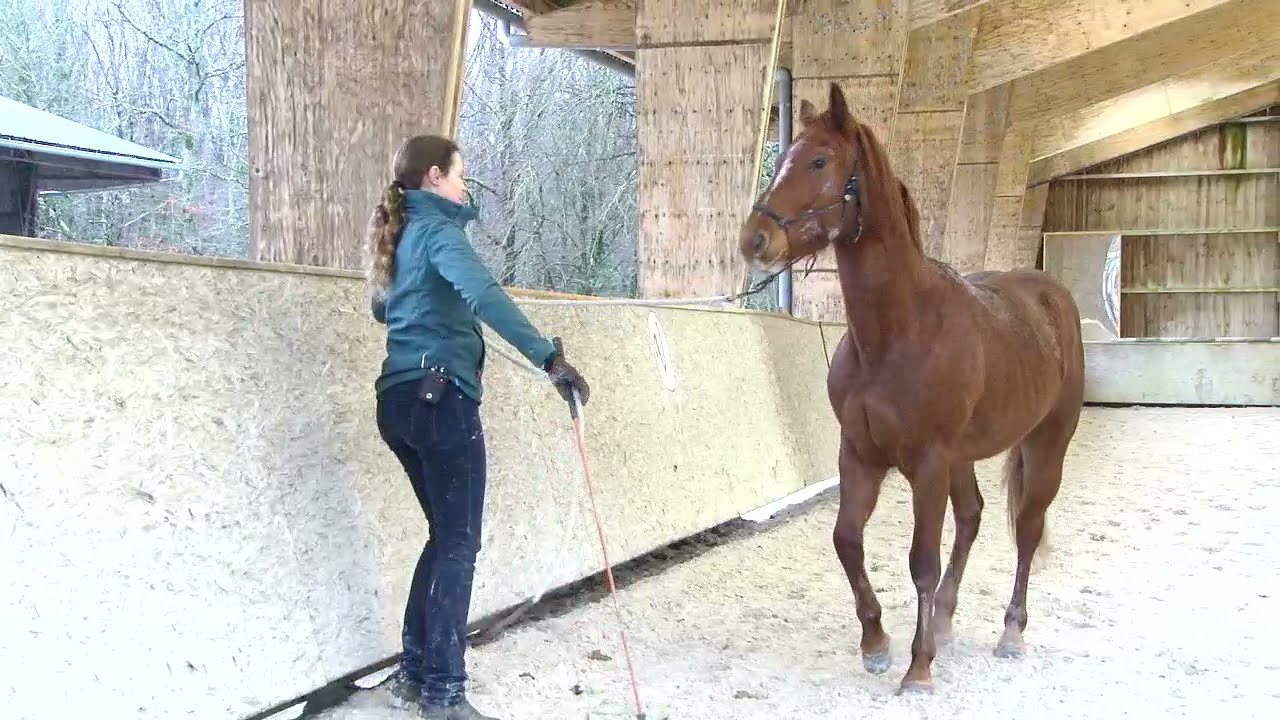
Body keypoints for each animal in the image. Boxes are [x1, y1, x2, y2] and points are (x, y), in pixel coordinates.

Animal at [737, 81, 1084, 694]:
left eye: (820, 161)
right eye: (780, 160)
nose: (755, 239)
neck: (898, 333)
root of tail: (1052, 297)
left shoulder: (926, 462)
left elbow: (921, 559)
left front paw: (918, 668)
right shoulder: (860, 454)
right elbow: (846, 540)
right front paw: (876, 642)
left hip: (1045, 446)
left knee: (1026, 529)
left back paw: (1010, 632)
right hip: (964, 458)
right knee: (972, 518)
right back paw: (944, 619)